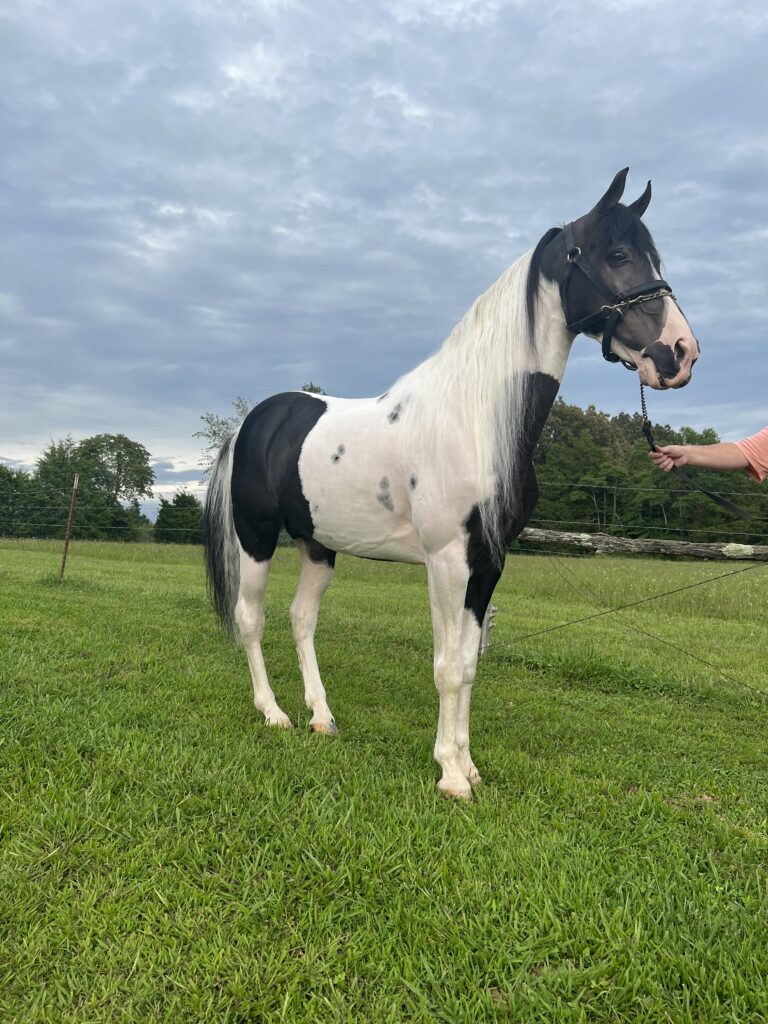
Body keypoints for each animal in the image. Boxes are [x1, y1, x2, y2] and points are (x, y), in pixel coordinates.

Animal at [203, 168, 698, 799]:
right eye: (617, 255)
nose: (680, 352)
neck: (475, 418)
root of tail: (253, 423)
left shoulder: (487, 562)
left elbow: (466, 665)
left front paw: (468, 766)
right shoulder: (446, 561)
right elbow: (444, 667)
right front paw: (449, 775)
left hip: (318, 546)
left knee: (300, 619)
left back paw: (321, 717)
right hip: (256, 538)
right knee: (252, 619)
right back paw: (273, 713)